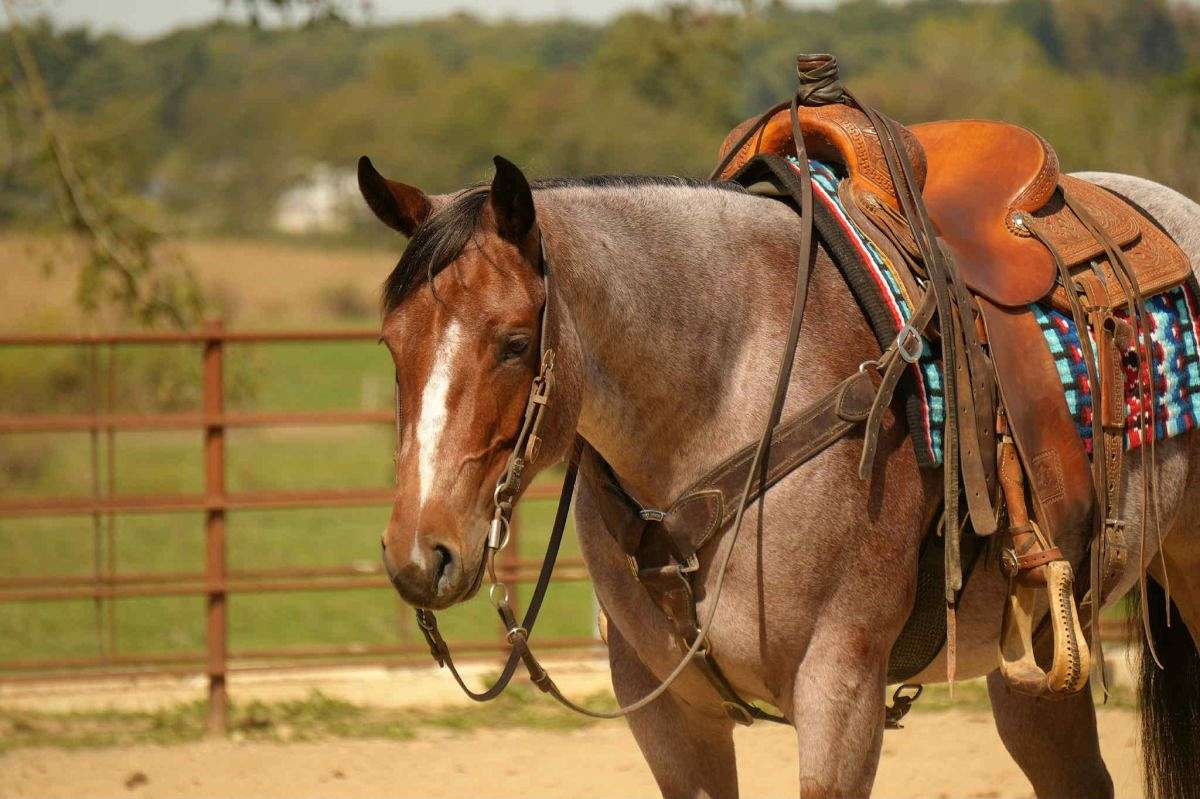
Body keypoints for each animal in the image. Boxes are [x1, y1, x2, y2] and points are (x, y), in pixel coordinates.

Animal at [362, 152, 1200, 798]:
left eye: (512, 342)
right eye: (391, 343)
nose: (419, 552)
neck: (730, 387)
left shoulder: (840, 689)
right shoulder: (665, 711)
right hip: (1040, 652)